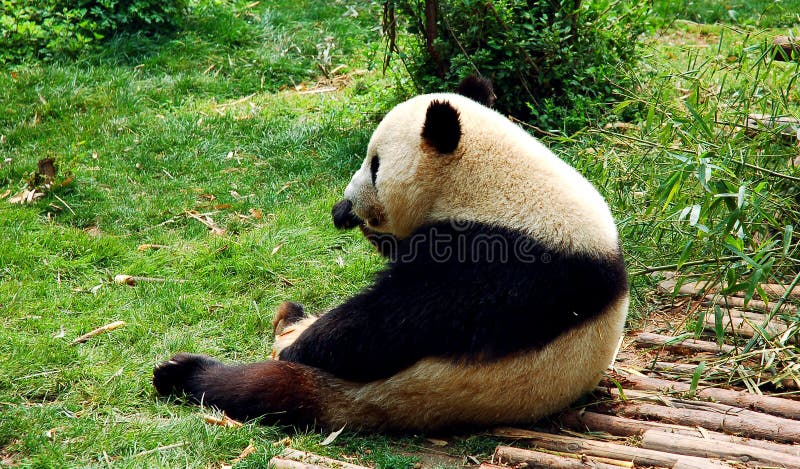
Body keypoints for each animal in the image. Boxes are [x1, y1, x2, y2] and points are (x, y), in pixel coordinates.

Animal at [153, 76, 629, 431]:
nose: (345, 205)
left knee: (267, 387)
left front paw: (306, 342)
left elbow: (390, 320)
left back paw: (184, 370)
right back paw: (287, 315)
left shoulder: (506, 261)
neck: (494, 182)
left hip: (378, 390)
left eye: (376, 165)